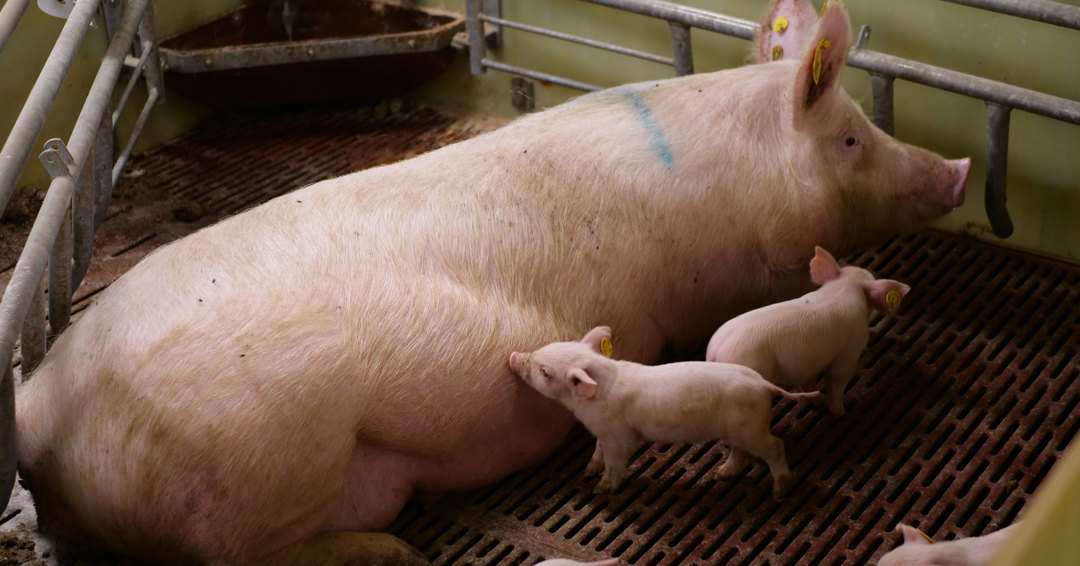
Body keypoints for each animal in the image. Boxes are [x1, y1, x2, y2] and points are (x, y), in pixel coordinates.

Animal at [509, 327, 822, 497]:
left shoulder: (620, 436)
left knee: (775, 446)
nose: (513, 356)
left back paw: (780, 490)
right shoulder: (604, 431)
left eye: (545, 372)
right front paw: (589, 470)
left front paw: (601, 488)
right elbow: (598, 450)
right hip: (738, 429)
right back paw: (721, 474)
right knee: (741, 453)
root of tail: (761, 383)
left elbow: (615, 461)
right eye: (548, 347)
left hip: (751, 428)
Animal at [706, 246, 910, 416]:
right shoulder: (849, 350)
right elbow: (836, 381)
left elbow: (808, 383)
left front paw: (817, 403)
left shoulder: (804, 364)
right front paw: (839, 413)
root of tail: (714, 353)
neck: (845, 288)